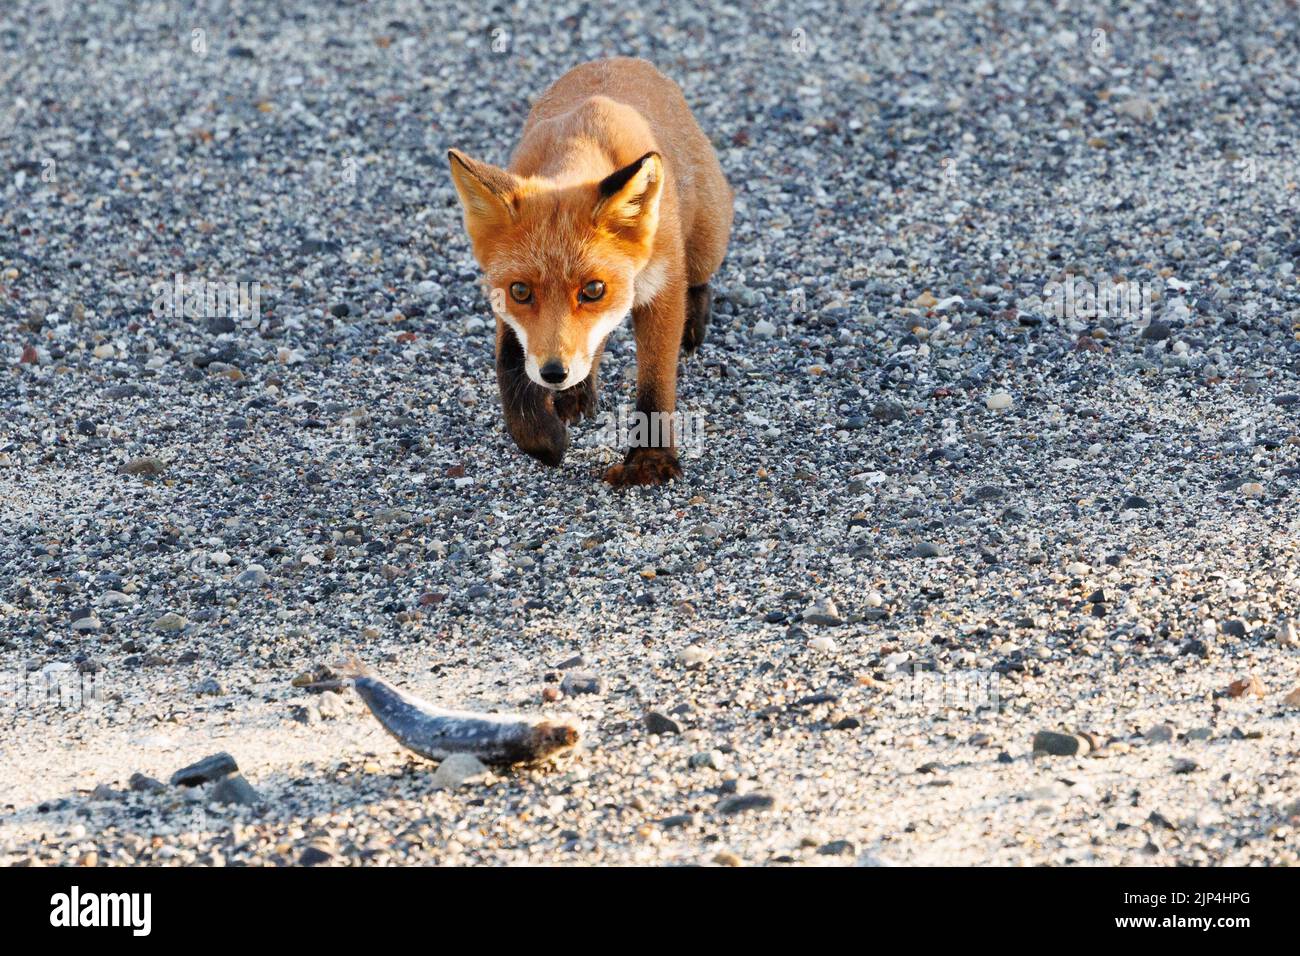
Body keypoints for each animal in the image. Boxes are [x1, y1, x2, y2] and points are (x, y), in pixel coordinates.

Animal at [447, 57, 733, 486]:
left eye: (593, 289)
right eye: (520, 291)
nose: (553, 373)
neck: (580, 143)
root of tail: (623, 60)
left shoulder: (661, 287)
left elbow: (656, 379)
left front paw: (650, 460)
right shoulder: (505, 307)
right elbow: (510, 367)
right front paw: (542, 439)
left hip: (705, 246)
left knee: (698, 281)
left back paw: (694, 324)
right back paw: (575, 394)